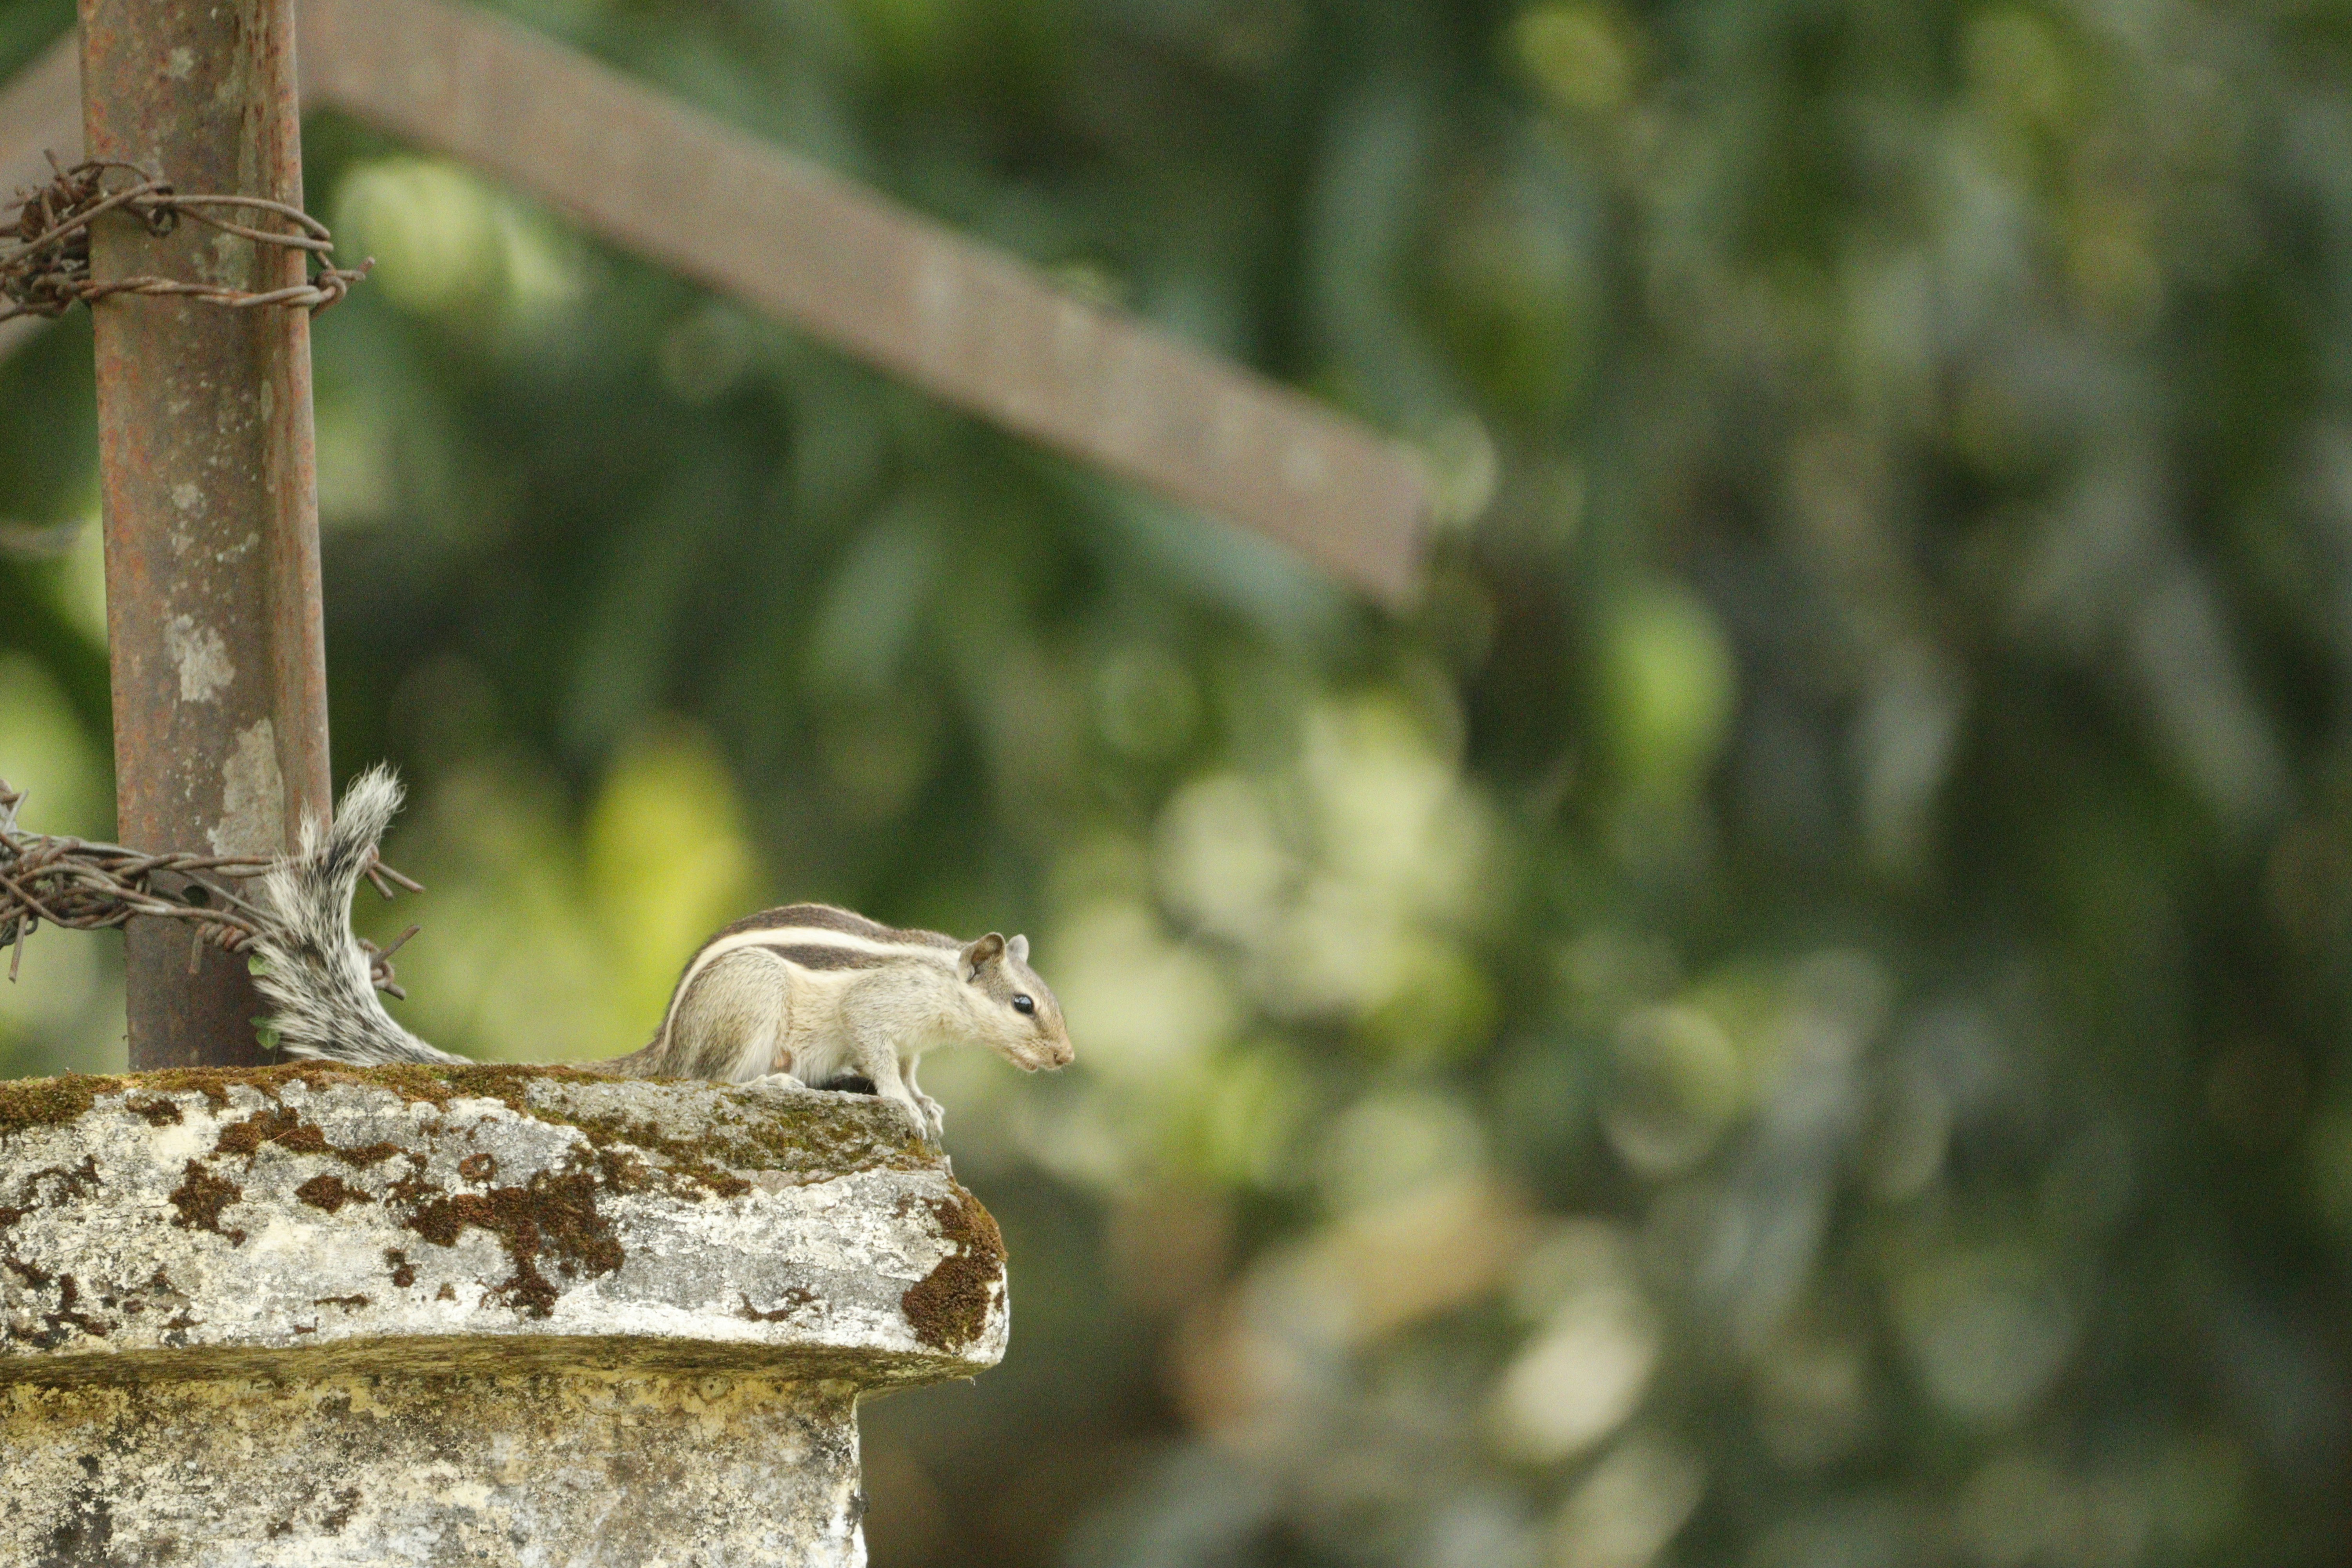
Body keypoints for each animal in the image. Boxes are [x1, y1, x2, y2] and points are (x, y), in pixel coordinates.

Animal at [248, 766, 1073, 1142]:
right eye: (1023, 1004)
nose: (1066, 1059)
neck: (941, 984)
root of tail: (666, 1046)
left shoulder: (912, 1039)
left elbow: (907, 1067)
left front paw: (926, 1100)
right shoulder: (878, 1011)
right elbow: (880, 1057)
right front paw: (903, 1105)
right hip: (753, 1005)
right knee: (715, 1082)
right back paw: (781, 1086)